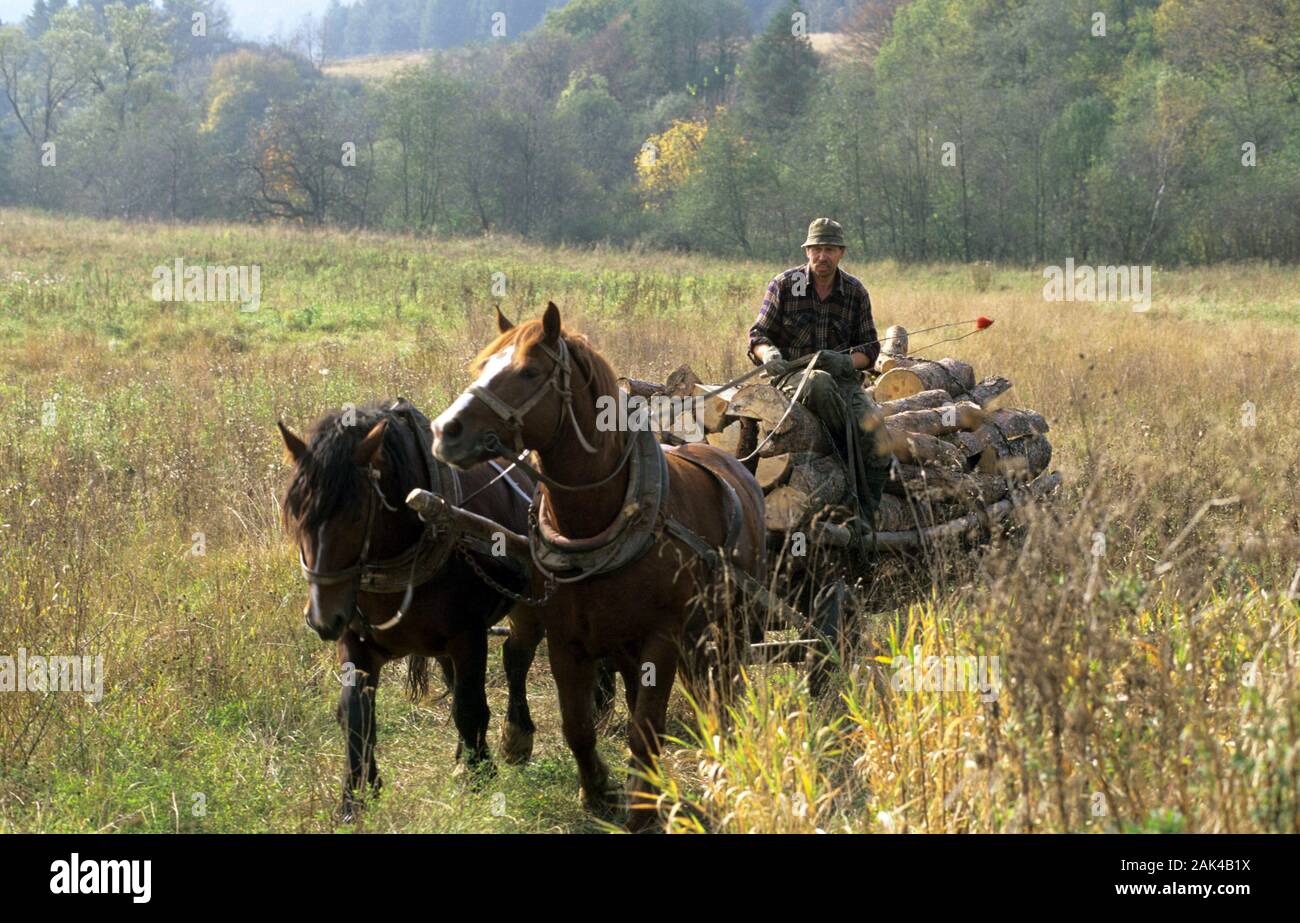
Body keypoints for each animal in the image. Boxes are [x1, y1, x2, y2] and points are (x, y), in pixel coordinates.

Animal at [278, 399, 543, 821]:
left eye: (355, 514)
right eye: (295, 513)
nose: (322, 619)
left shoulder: (468, 636)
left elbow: (470, 707)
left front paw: (481, 777)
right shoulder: (356, 640)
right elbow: (356, 714)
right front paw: (354, 798)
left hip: (531, 604)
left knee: (516, 657)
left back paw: (517, 737)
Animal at [430, 303, 768, 830]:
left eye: (529, 372)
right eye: (481, 367)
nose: (445, 431)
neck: (603, 521)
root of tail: (736, 465)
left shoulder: (662, 639)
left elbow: (645, 727)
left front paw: (642, 808)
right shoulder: (567, 640)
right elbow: (578, 725)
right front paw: (598, 791)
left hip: (731, 623)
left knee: (725, 688)